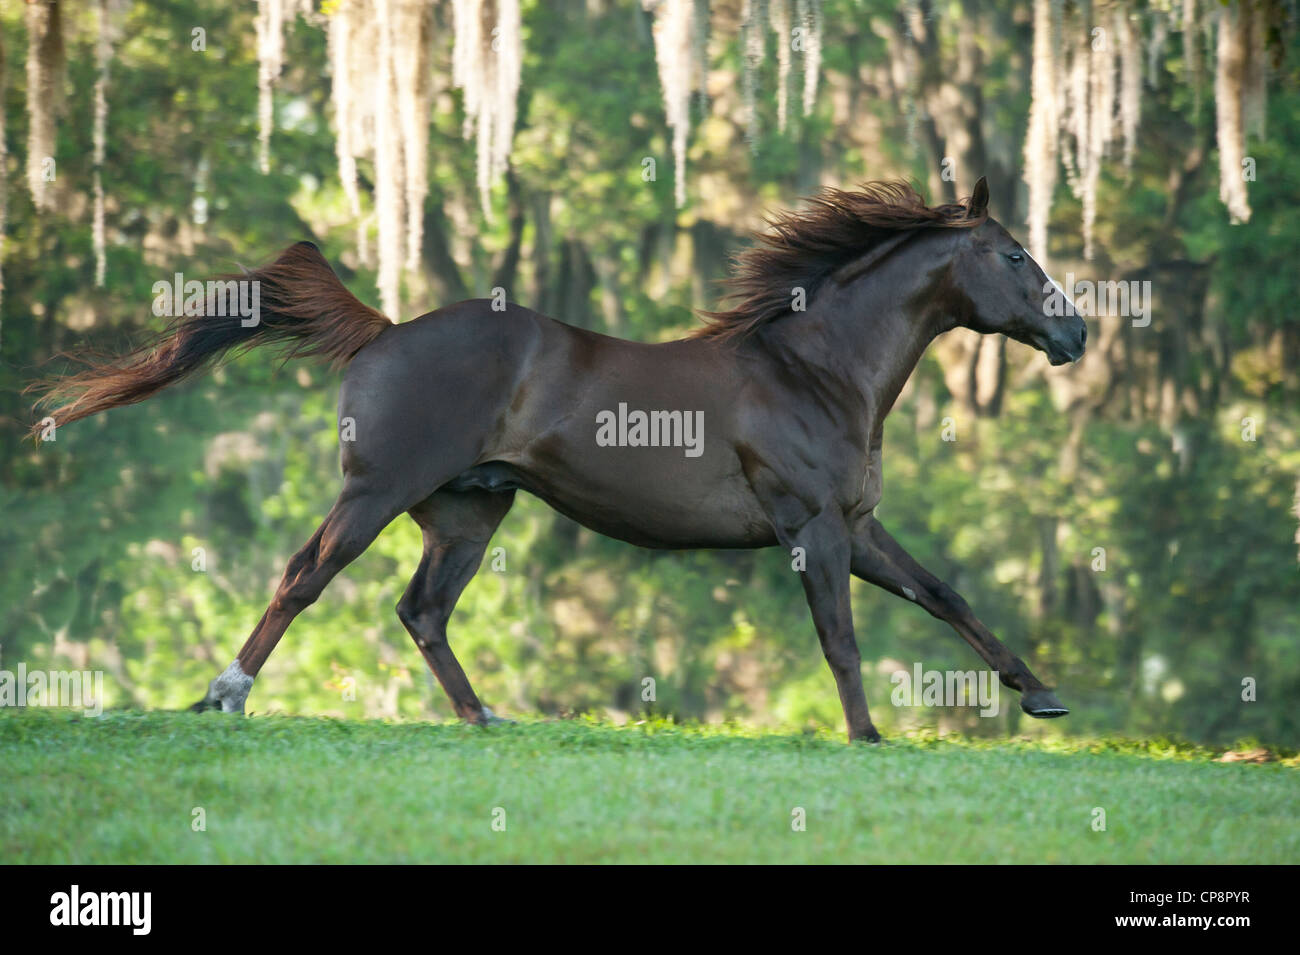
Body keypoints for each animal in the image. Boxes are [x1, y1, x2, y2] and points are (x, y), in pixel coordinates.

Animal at [32, 177, 1086, 743]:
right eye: (1015, 254)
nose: (1074, 331)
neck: (813, 367)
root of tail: (383, 331)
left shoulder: (859, 528)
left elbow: (946, 594)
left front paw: (1041, 695)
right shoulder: (814, 530)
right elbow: (842, 637)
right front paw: (866, 735)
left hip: (468, 512)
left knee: (420, 610)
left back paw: (484, 718)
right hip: (377, 492)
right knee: (305, 576)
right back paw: (225, 693)